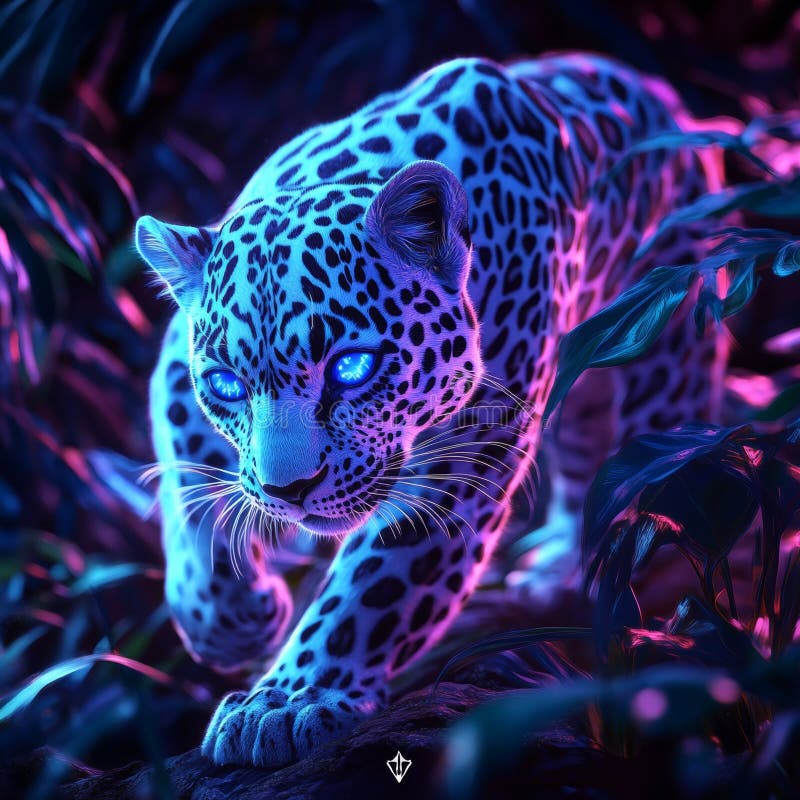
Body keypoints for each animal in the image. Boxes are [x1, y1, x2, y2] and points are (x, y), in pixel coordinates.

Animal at [136, 52, 727, 768]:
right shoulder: (178, 363)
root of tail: (662, 96)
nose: (290, 492)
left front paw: (288, 700)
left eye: (352, 368)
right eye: (225, 384)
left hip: (663, 351)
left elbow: (372, 590)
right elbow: (187, 481)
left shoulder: (464, 457)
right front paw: (229, 621)